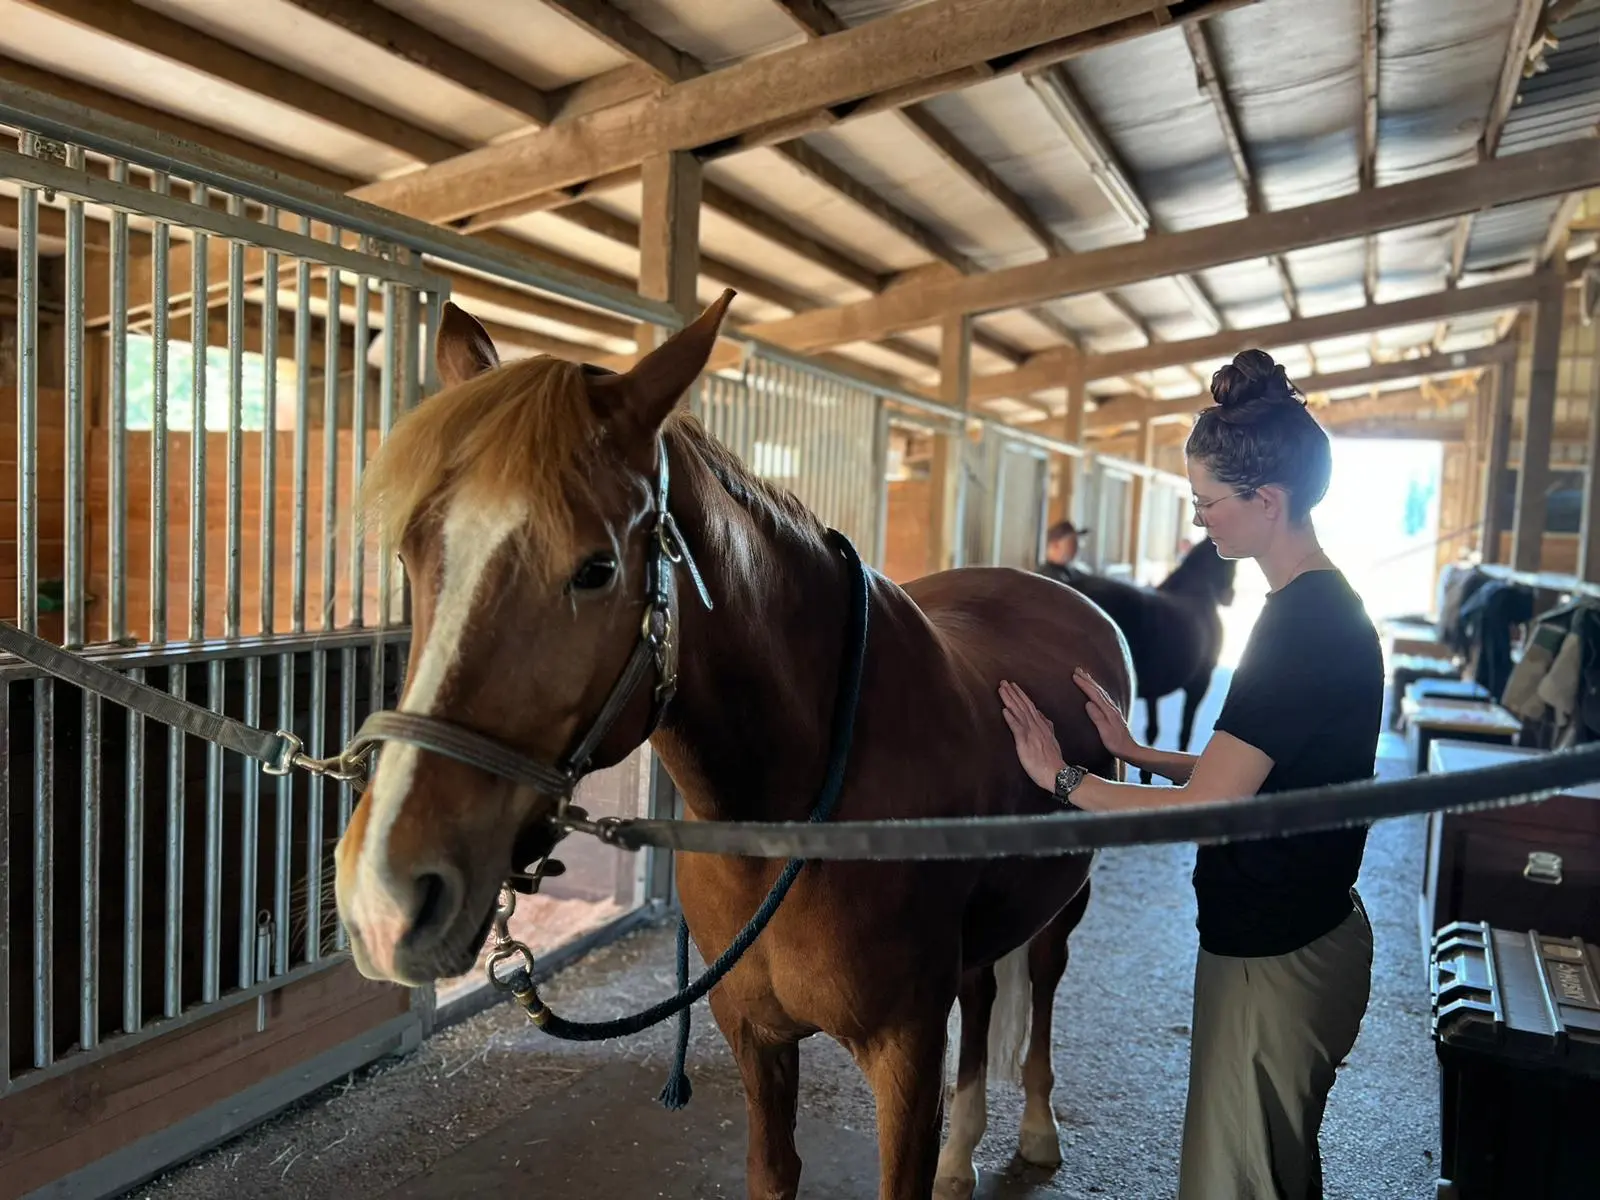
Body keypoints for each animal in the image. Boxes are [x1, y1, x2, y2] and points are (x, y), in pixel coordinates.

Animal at [332, 290, 1135, 1200]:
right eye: (411, 554)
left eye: (596, 569)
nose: (383, 895)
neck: (793, 811)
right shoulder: (754, 1033)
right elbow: (773, 1168)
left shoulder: (906, 1050)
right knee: (983, 989)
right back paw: (962, 1157)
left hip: (1064, 907)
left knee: (1040, 986)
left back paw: (1035, 1132)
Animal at [1046, 539, 1234, 783]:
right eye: (1231, 565)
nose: (1229, 596)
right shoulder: (1199, 684)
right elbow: (1184, 731)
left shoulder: (1155, 692)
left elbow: (1152, 733)